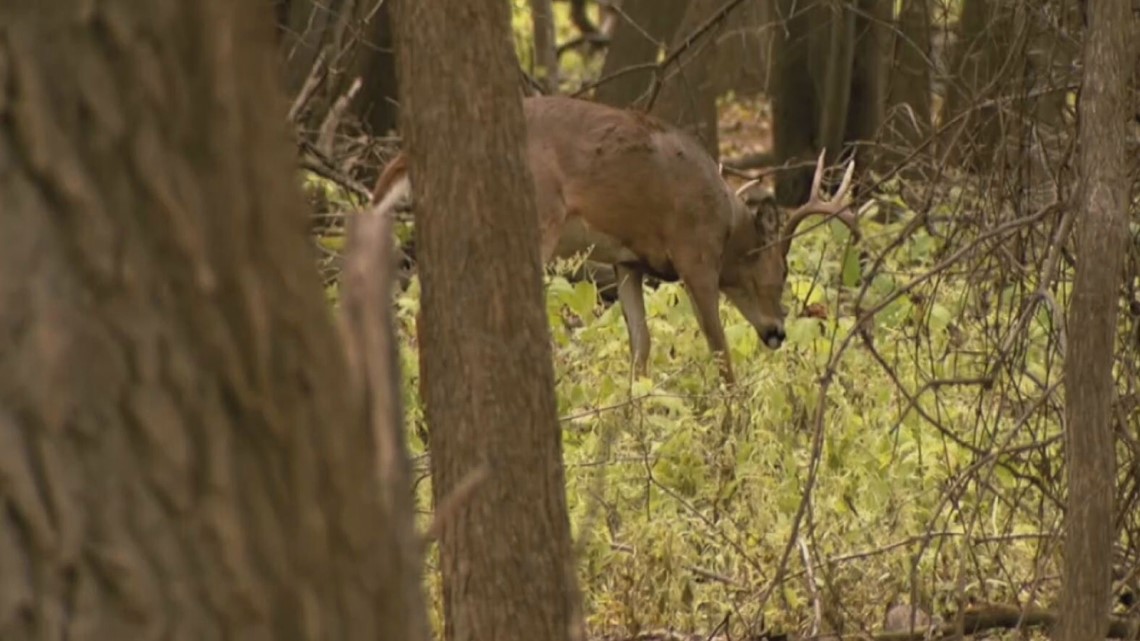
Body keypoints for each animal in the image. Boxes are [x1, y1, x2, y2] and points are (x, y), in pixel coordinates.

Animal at [370, 95, 858, 386]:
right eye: (782, 270)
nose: (778, 332)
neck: (724, 224)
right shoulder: (693, 255)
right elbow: (718, 348)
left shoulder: (629, 261)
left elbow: (641, 345)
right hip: (538, 217)